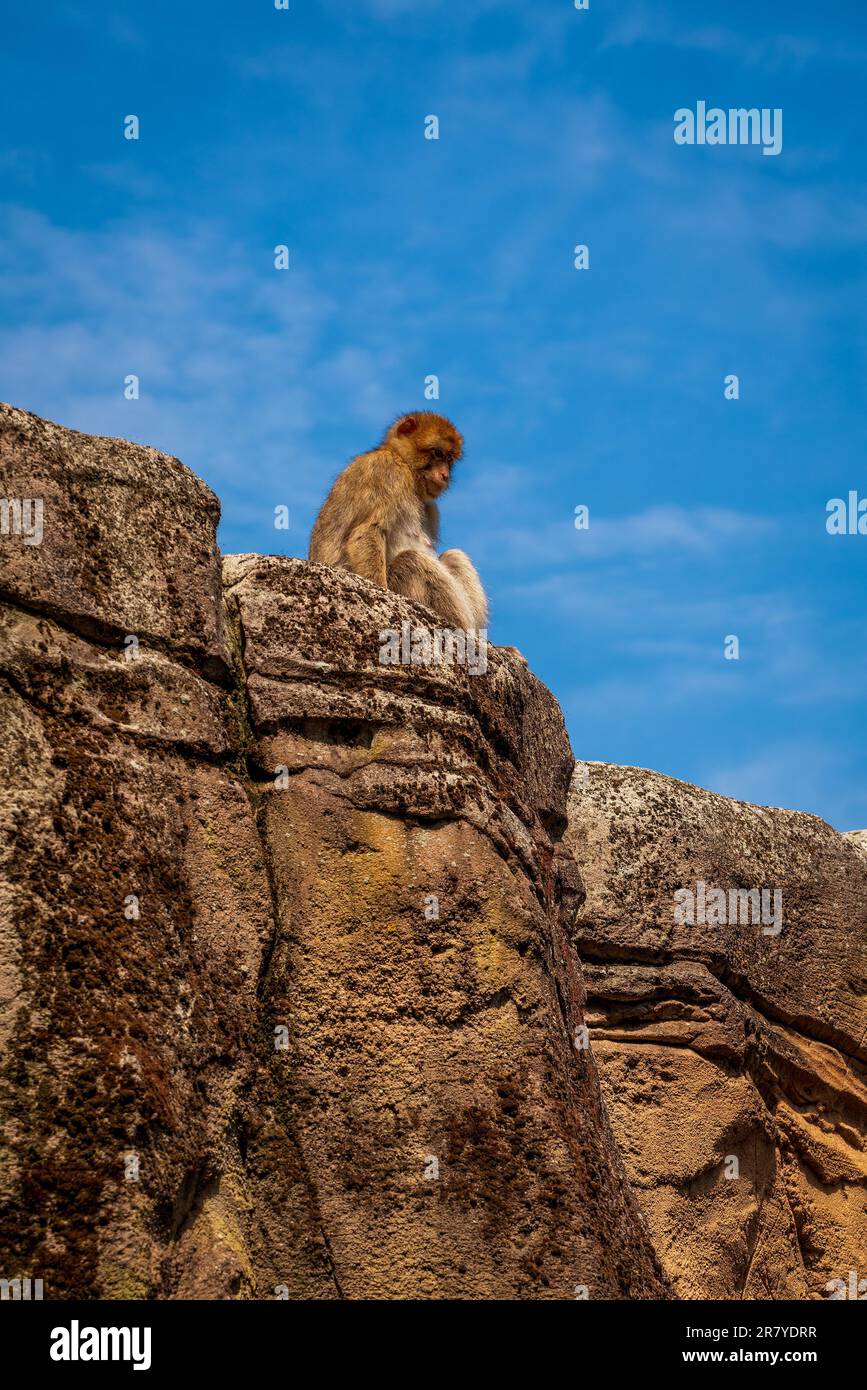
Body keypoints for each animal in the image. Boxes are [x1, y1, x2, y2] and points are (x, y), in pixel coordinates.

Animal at [309, 412, 488, 630]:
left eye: (449, 459)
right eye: (437, 453)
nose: (445, 475)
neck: (405, 465)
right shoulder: (387, 471)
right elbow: (367, 531)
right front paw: (380, 593)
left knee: (453, 556)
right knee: (412, 559)